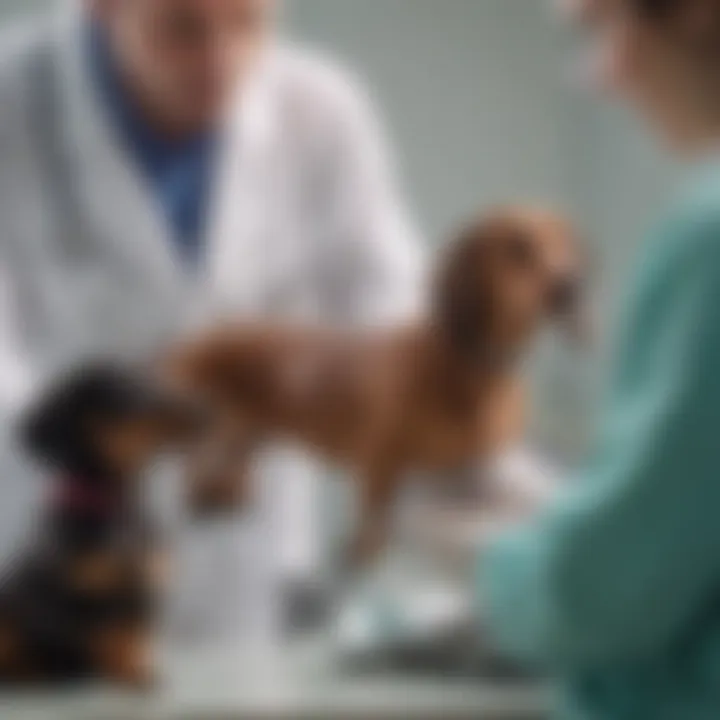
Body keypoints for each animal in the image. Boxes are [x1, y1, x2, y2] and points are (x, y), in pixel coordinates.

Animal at [0, 362, 204, 688]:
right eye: (126, 390)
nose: (206, 413)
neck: (116, 507)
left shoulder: (146, 588)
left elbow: (131, 633)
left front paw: (138, 667)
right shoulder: (67, 601)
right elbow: (103, 637)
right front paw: (126, 672)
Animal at [162, 207, 584, 568]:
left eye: (565, 241)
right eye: (517, 246)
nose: (568, 287)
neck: (468, 366)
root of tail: (192, 342)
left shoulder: (479, 468)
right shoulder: (381, 459)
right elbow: (374, 519)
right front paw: (360, 552)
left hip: (247, 429)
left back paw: (225, 493)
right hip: (210, 421)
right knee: (195, 465)